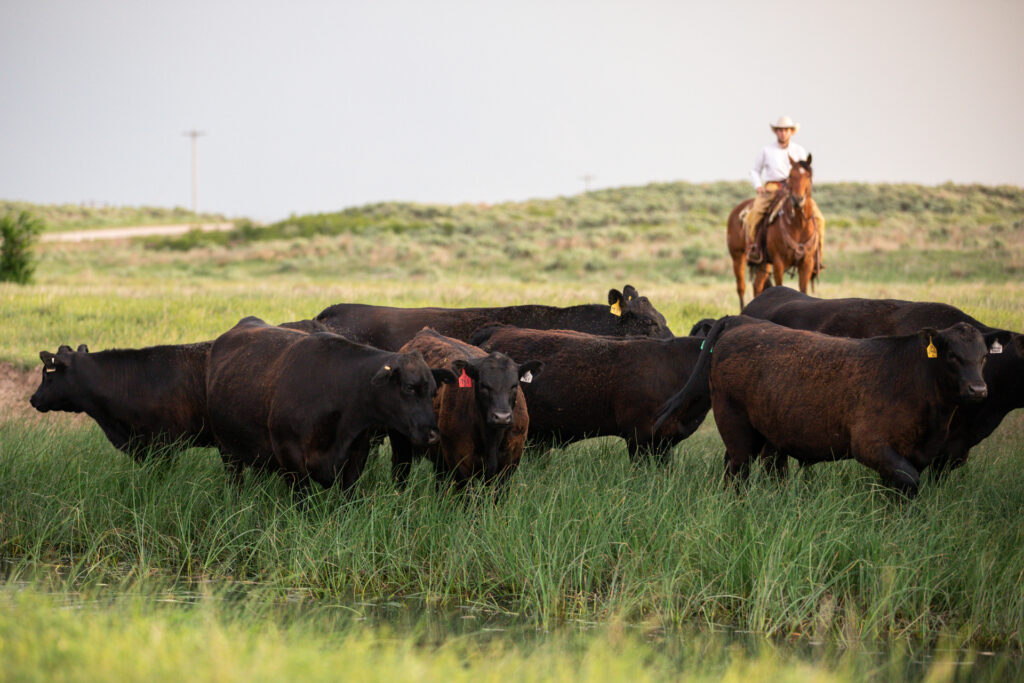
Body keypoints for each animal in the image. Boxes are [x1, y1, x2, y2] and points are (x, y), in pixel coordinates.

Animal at [205, 316, 456, 491]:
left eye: (434, 391)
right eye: (409, 387)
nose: (433, 434)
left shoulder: (357, 453)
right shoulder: (291, 458)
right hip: (227, 449)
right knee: (235, 479)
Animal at [390, 328, 542, 488]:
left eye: (514, 385)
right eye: (483, 385)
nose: (502, 417)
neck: (491, 439)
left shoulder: (508, 467)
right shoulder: (461, 467)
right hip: (399, 441)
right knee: (400, 471)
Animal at [653, 316, 998, 497]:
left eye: (984, 356)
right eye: (952, 355)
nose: (978, 389)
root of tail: (743, 321)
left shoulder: (908, 456)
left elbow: (900, 489)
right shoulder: (870, 445)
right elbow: (911, 481)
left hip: (770, 434)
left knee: (767, 469)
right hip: (734, 424)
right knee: (737, 470)